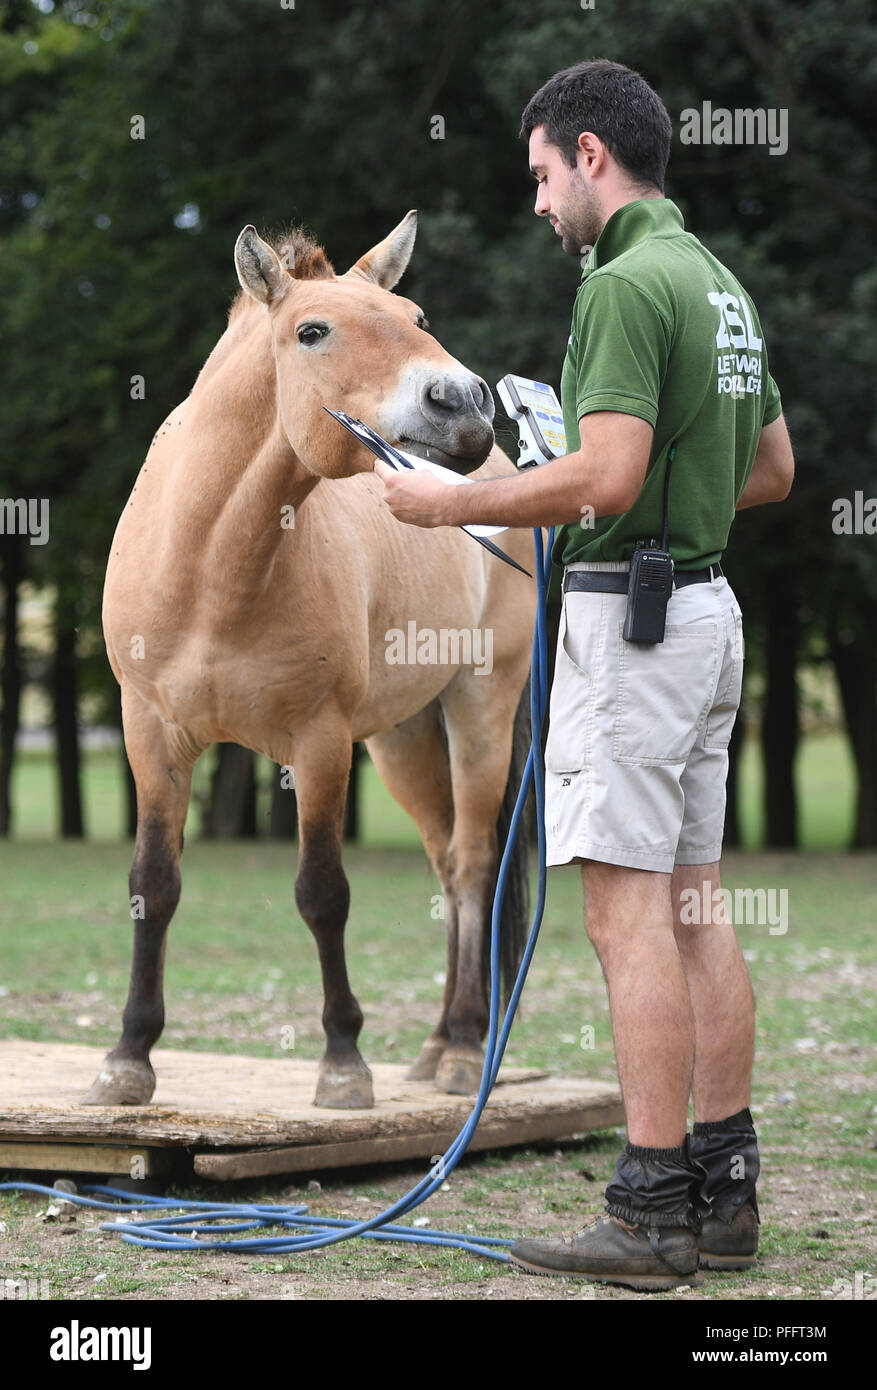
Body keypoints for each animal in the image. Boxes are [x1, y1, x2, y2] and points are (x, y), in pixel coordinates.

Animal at [84, 211, 537, 1111]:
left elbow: (323, 893)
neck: (212, 565)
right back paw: (436, 1047)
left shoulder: (319, 746)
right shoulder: (150, 736)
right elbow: (154, 885)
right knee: (445, 866)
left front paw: (342, 1063)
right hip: (401, 740)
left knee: (474, 864)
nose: (462, 401)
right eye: (313, 331)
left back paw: (466, 1049)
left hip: (479, 711)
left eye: (416, 317)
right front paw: (129, 1058)